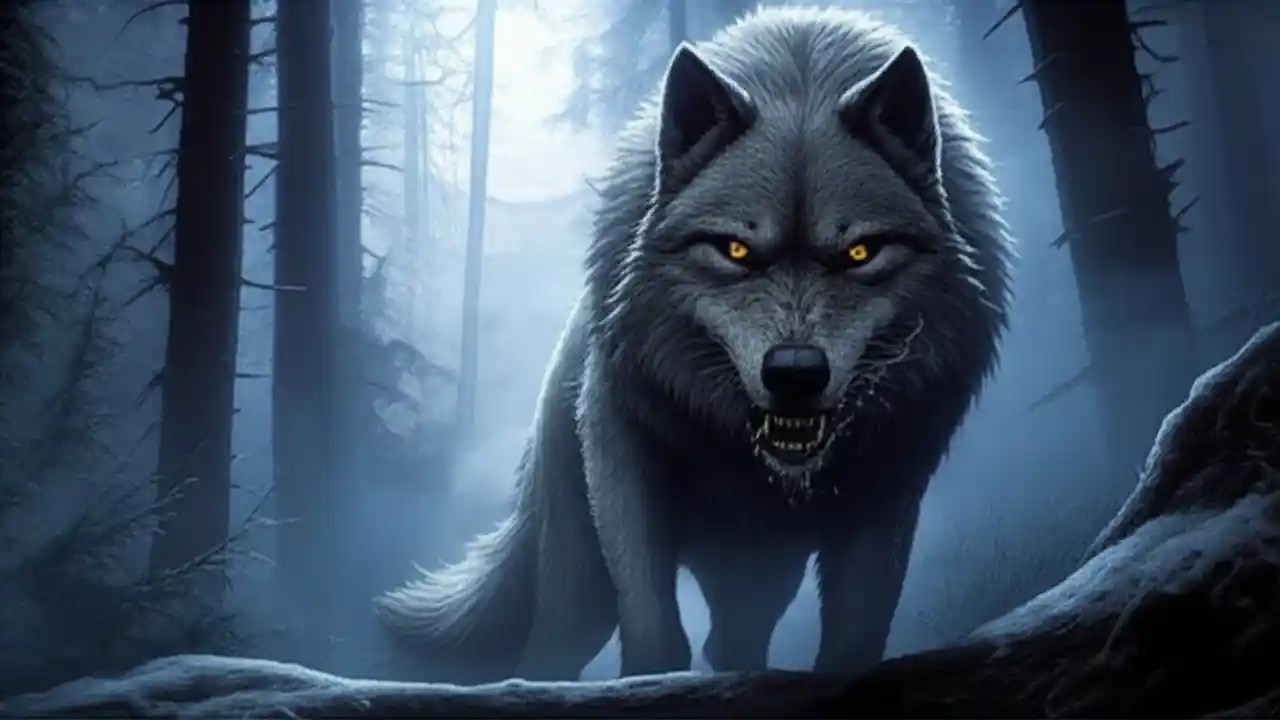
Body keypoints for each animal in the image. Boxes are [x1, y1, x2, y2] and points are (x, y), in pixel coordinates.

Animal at [376, 6, 1012, 681]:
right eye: (734, 250)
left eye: (861, 253)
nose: (794, 371)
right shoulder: (622, 459)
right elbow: (654, 629)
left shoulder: (890, 487)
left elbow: (855, 636)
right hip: (581, 577)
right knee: (552, 645)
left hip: (762, 570)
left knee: (732, 645)